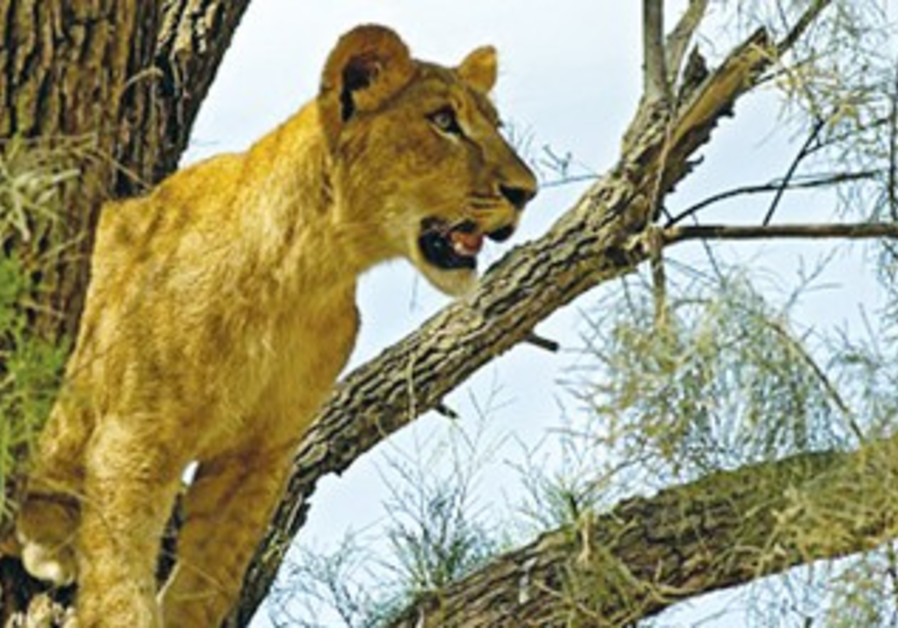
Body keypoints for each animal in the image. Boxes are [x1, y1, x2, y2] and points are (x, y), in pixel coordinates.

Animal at [13, 24, 536, 627]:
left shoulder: (260, 454)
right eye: (444, 121)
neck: (307, 275)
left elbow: (209, 580)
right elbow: (121, 582)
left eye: (496, 125)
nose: (527, 191)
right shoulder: (135, 436)